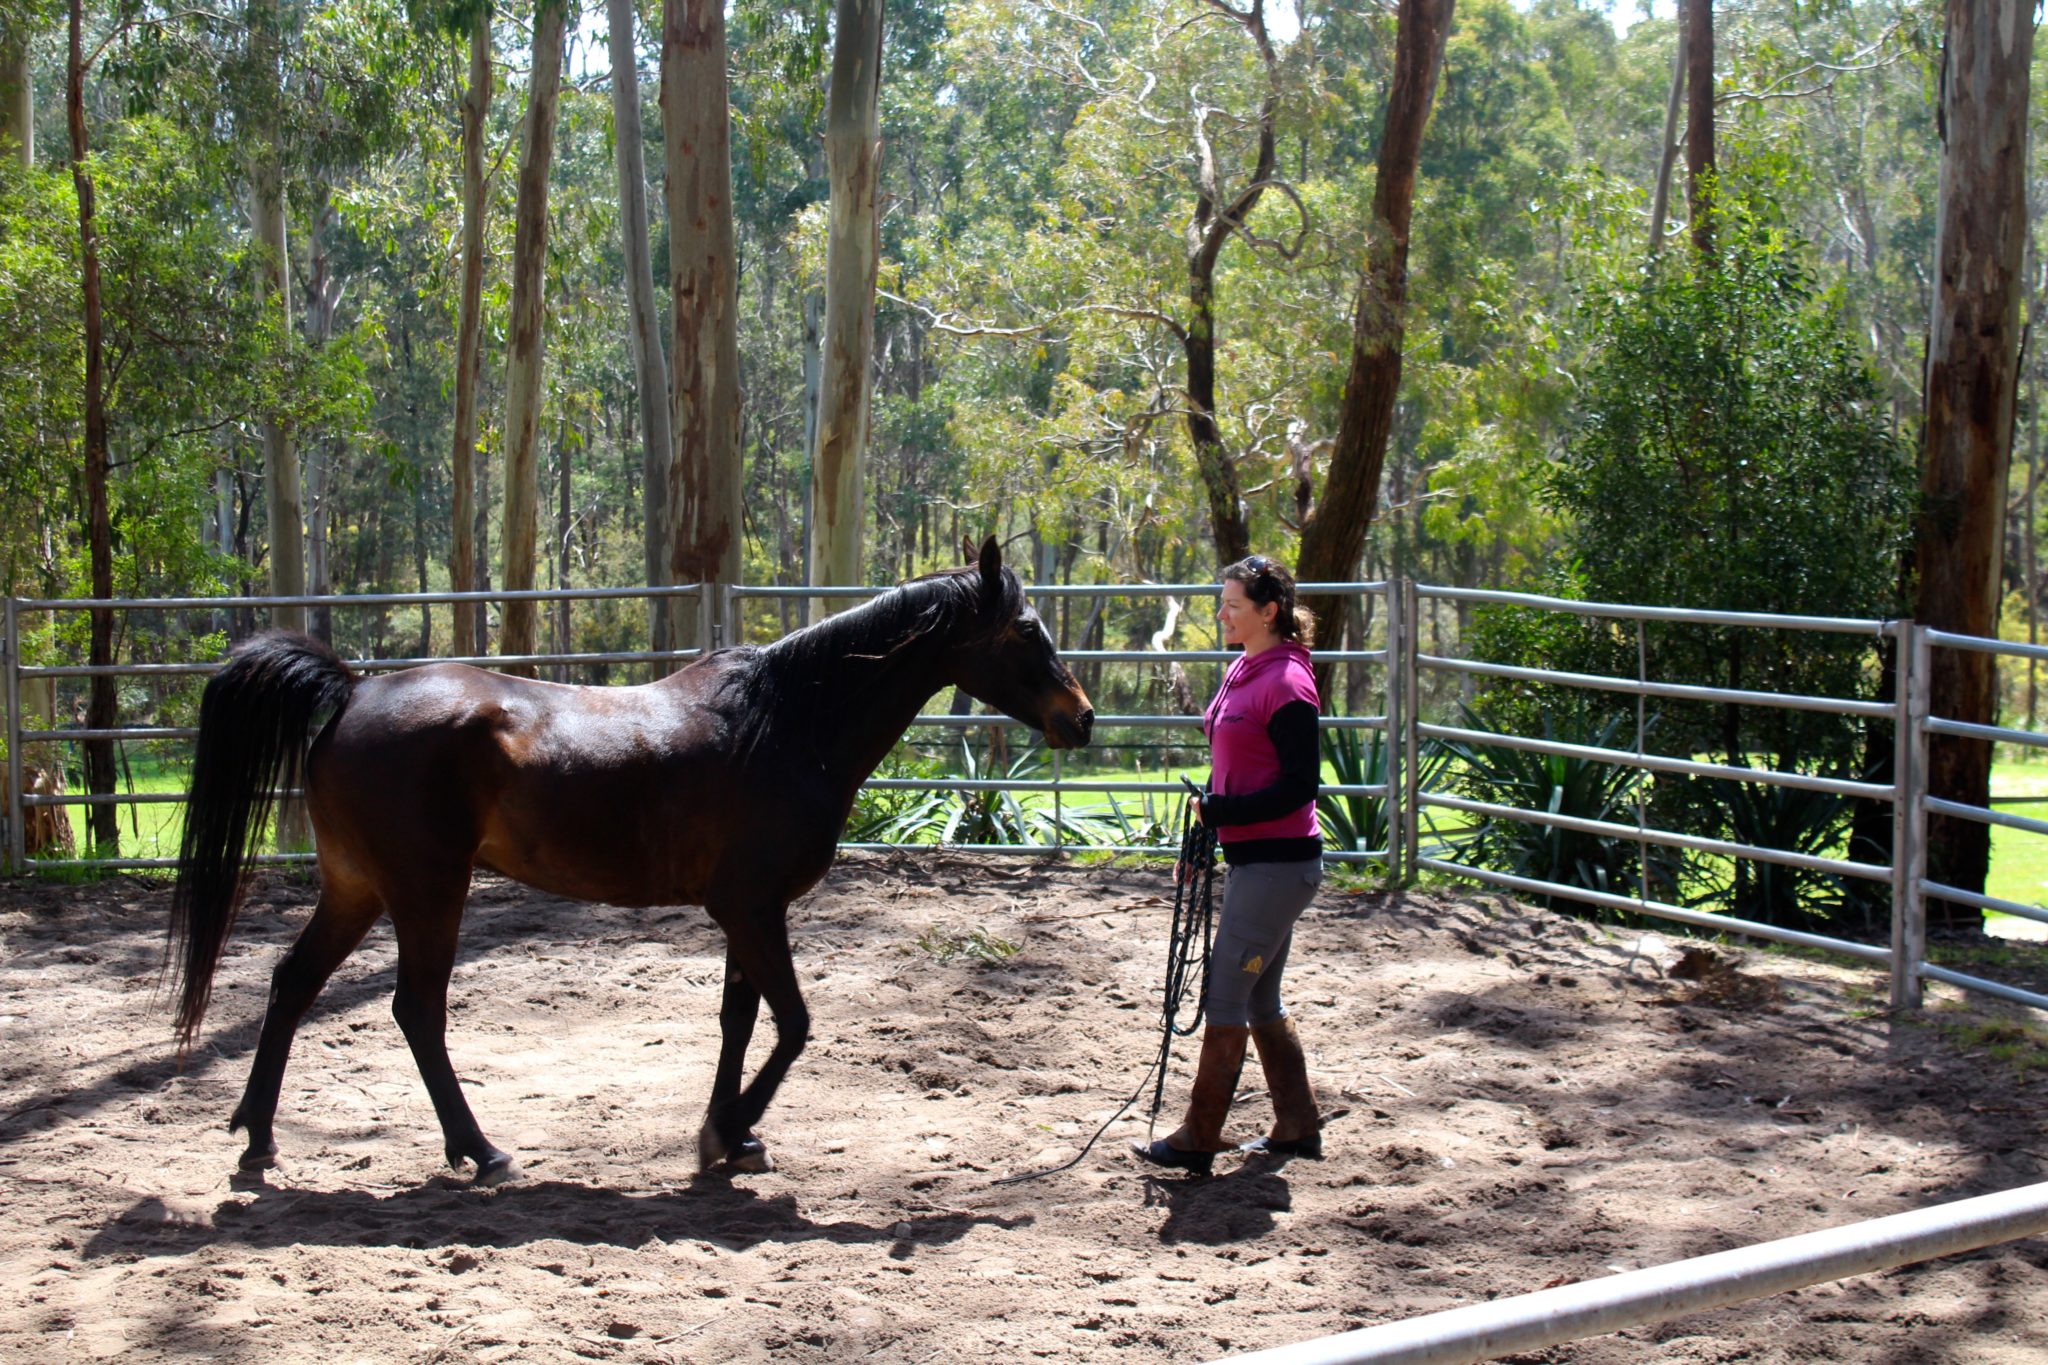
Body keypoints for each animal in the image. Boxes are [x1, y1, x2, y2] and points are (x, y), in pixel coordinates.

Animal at [167, 537, 1093, 1183]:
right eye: (1026, 628)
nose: (1080, 717)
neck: (786, 720)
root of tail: (352, 690)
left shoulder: (746, 912)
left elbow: (740, 1020)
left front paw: (733, 1134)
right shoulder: (753, 907)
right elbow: (793, 1023)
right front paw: (726, 1131)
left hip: (356, 889)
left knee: (292, 984)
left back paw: (257, 1139)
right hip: (428, 892)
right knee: (415, 1011)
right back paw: (482, 1150)